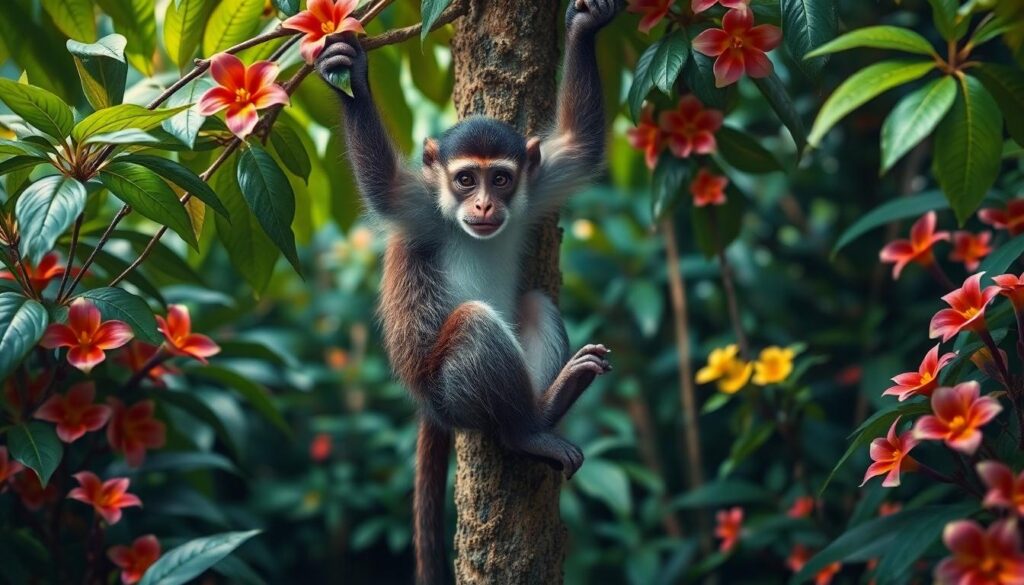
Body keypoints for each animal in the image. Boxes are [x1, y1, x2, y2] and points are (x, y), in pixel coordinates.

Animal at [315, 1, 620, 582]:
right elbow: (382, 185)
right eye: (464, 180)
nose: (482, 206)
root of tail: (428, 405)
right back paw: (526, 429)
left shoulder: (535, 184)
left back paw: (547, 408)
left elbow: (582, 146)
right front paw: (353, 81)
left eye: (498, 179)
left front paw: (587, 27)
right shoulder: (419, 206)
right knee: (476, 323)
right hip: (450, 391)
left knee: (533, 303)